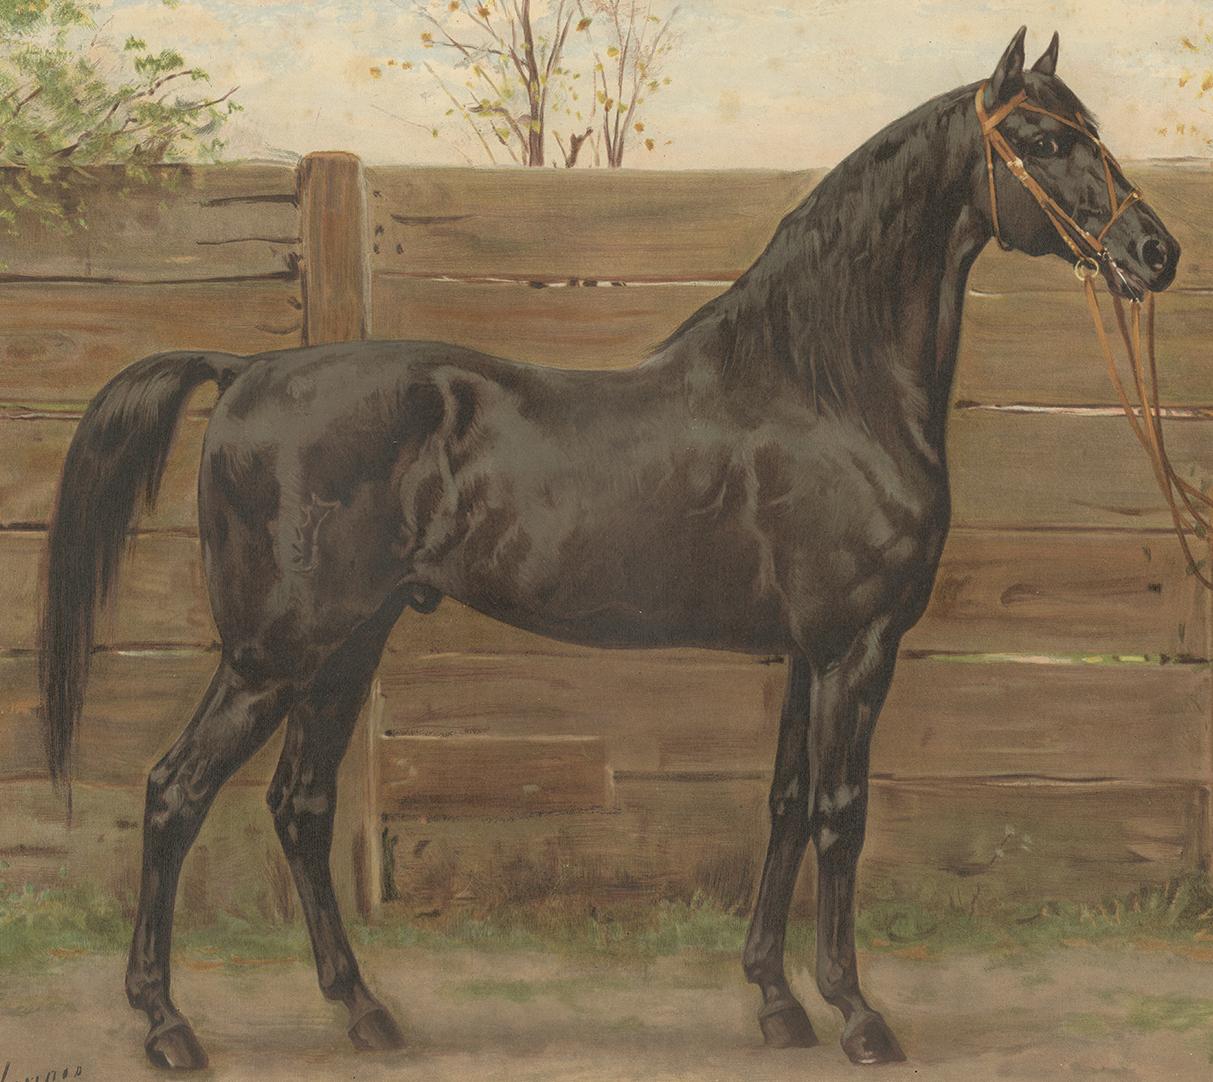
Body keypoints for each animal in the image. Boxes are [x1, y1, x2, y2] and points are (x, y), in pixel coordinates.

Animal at [38, 26, 1179, 1070]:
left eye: (1091, 127)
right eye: (1042, 137)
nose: (1154, 253)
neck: (824, 387)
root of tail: (242, 372)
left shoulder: (804, 655)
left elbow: (782, 806)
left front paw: (775, 1001)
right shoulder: (853, 648)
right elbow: (839, 814)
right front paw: (857, 1014)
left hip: (344, 651)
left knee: (300, 808)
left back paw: (364, 1012)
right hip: (275, 654)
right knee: (174, 794)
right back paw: (169, 1025)